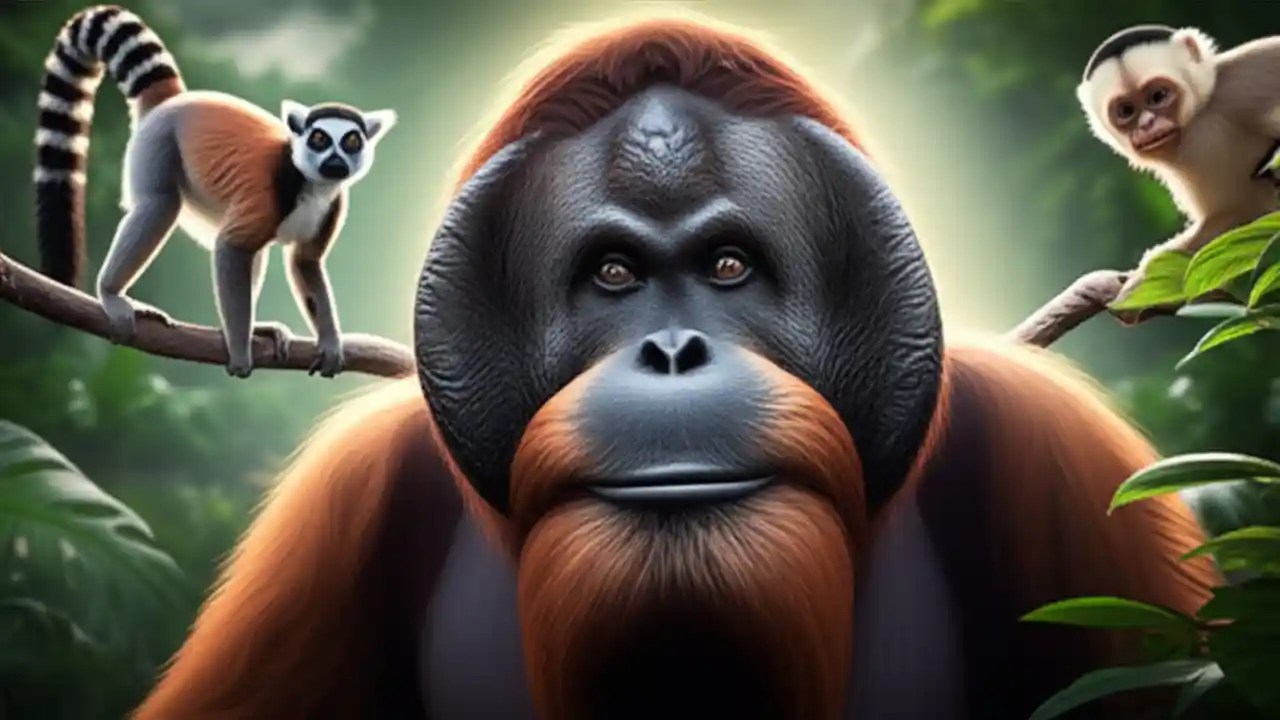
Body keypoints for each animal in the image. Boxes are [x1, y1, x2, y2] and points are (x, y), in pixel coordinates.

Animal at [32, 4, 397, 377]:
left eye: (351, 141)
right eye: (320, 139)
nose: (336, 162)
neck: (311, 184)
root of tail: (175, 100)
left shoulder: (333, 205)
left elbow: (305, 262)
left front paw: (330, 342)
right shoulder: (268, 194)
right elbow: (231, 248)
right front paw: (238, 349)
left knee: (250, 248)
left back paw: (253, 328)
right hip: (157, 145)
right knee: (161, 206)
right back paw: (110, 293)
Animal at [1077, 24, 1280, 306]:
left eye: (1158, 96)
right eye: (1127, 110)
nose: (1147, 124)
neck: (1202, 113)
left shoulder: (1239, 94)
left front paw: (1143, 280)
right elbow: (1233, 213)